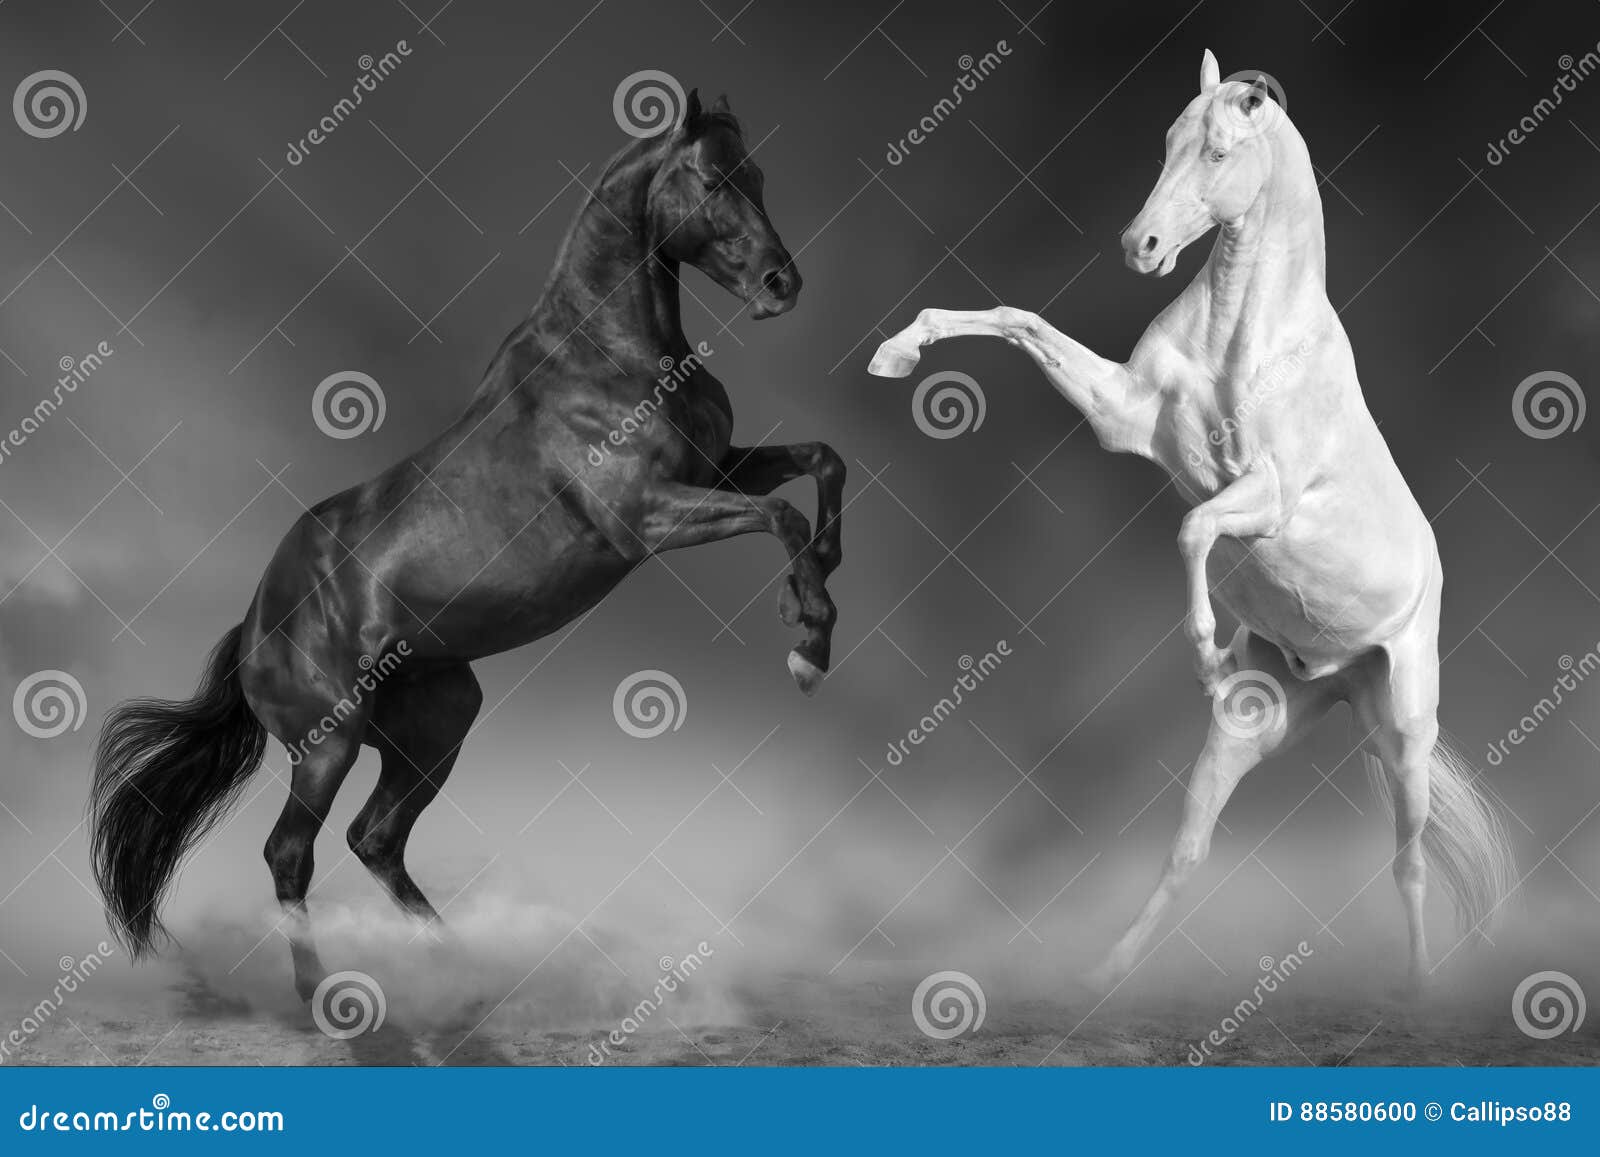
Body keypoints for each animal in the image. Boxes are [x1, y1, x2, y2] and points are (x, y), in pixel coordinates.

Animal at [90, 90, 844, 999]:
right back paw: (325, 995)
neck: (611, 358)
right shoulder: (648, 518)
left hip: (437, 722)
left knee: (375, 839)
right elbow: (781, 515)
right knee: (291, 853)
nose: (782, 284)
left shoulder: (717, 467)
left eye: (756, 175)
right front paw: (807, 644)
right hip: (327, 742)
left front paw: (819, 591)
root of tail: (256, 622)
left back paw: (465, 971)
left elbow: (819, 464)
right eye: (710, 178)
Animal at [869, 51, 1514, 992]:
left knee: (1411, 865)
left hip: (1404, 738)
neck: (1244, 343)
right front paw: (898, 351)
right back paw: (1100, 981)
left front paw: (1208, 653)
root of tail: (1335, 675)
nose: (1139, 246)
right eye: (1167, 142)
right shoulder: (1125, 417)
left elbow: (1195, 530)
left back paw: (1422, 992)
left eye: (1217, 150)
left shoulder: (1267, 500)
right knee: (1188, 855)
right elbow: (1017, 319)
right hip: (1246, 739)